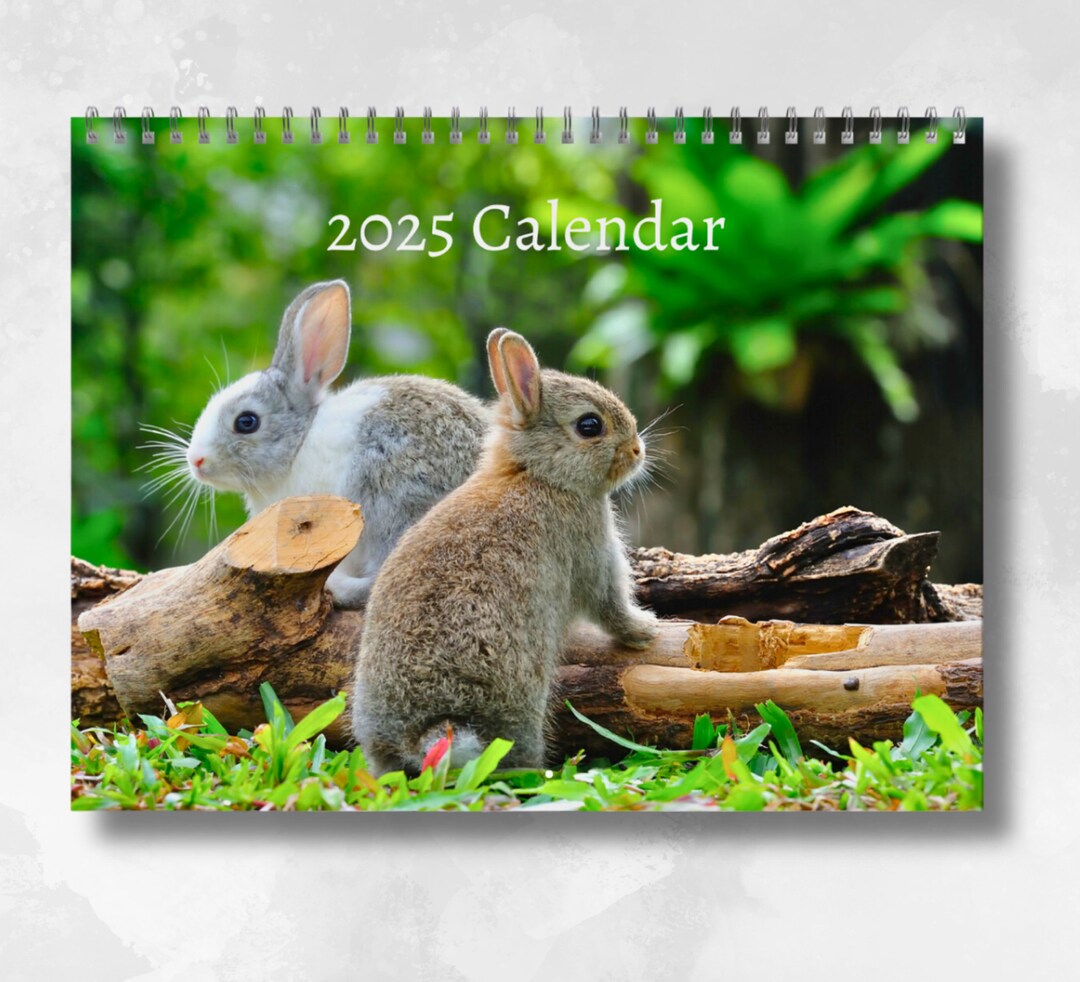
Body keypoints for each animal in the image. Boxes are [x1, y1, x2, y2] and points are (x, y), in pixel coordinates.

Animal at [351, 327, 660, 775]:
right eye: (590, 425)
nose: (637, 451)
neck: (538, 475)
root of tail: (425, 730)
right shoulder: (592, 551)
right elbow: (610, 606)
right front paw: (646, 630)